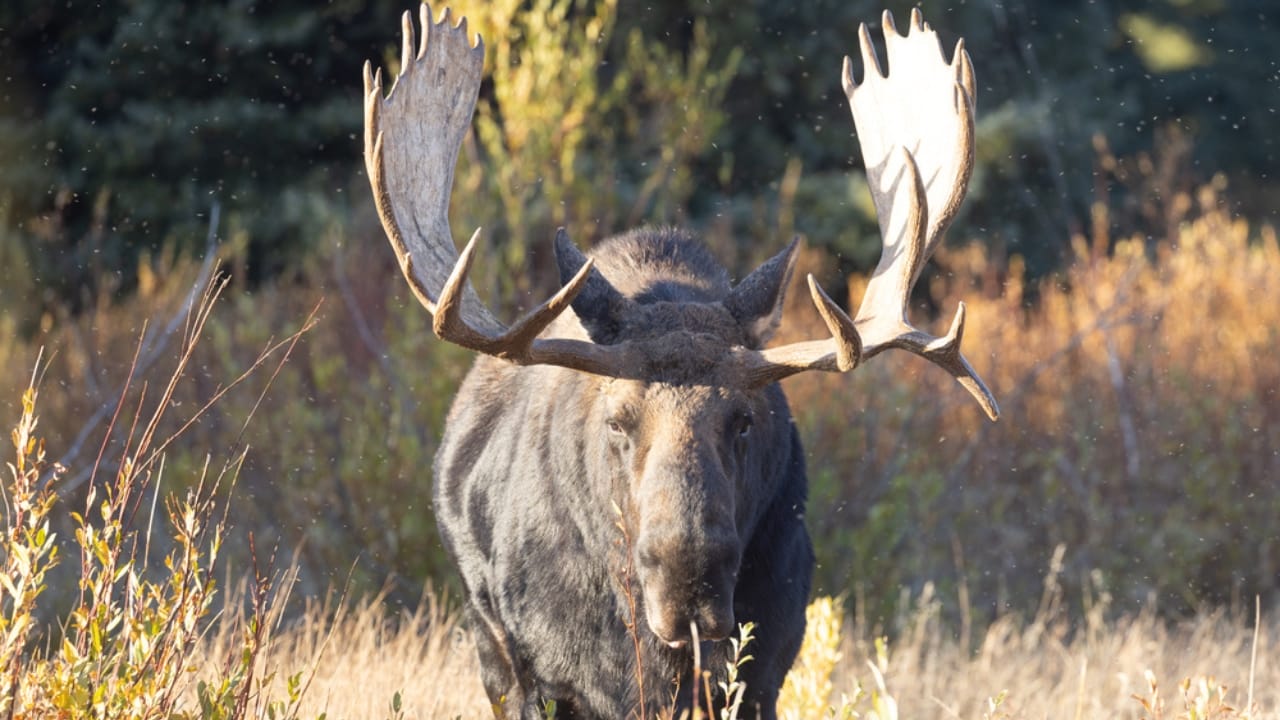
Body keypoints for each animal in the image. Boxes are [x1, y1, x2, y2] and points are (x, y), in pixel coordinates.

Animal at [361, 6, 996, 718]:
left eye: (744, 419)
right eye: (618, 420)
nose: (688, 582)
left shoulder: (768, 663)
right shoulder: (559, 679)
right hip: (488, 643)